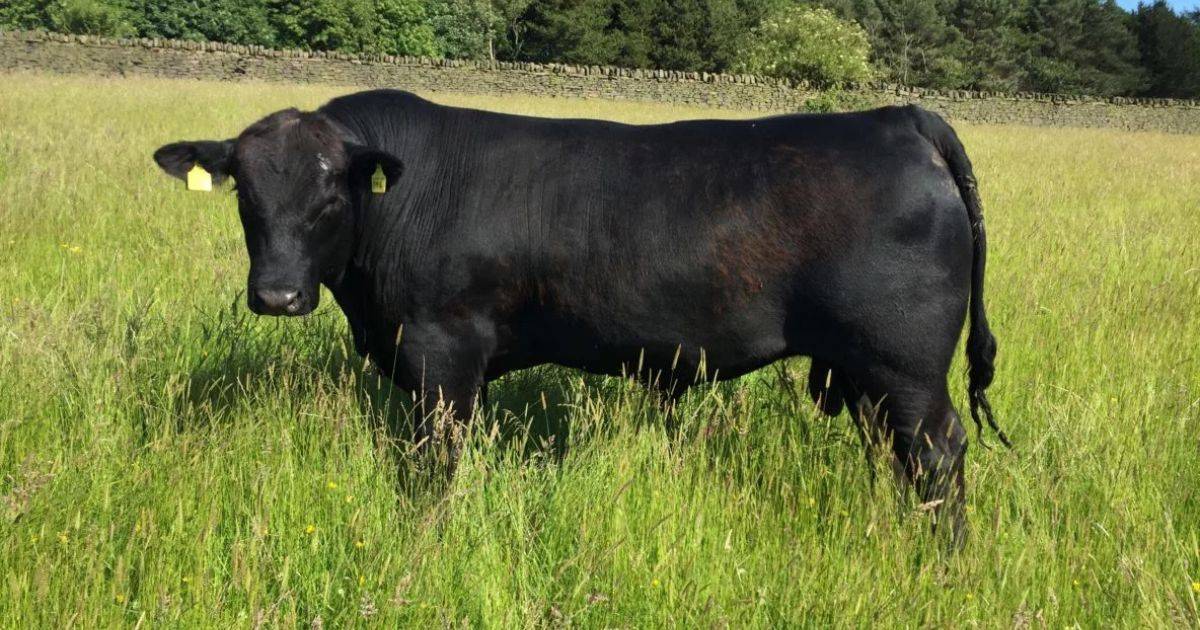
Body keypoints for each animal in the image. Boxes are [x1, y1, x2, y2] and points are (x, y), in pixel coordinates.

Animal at [153, 89, 1005, 542]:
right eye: (244, 190)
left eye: (332, 190)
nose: (277, 296)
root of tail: (894, 116)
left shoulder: (441, 350)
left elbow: (436, 458)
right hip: (864, 369)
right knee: (896, 451)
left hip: (903, 360)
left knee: (936, 450)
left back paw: (942, 555)